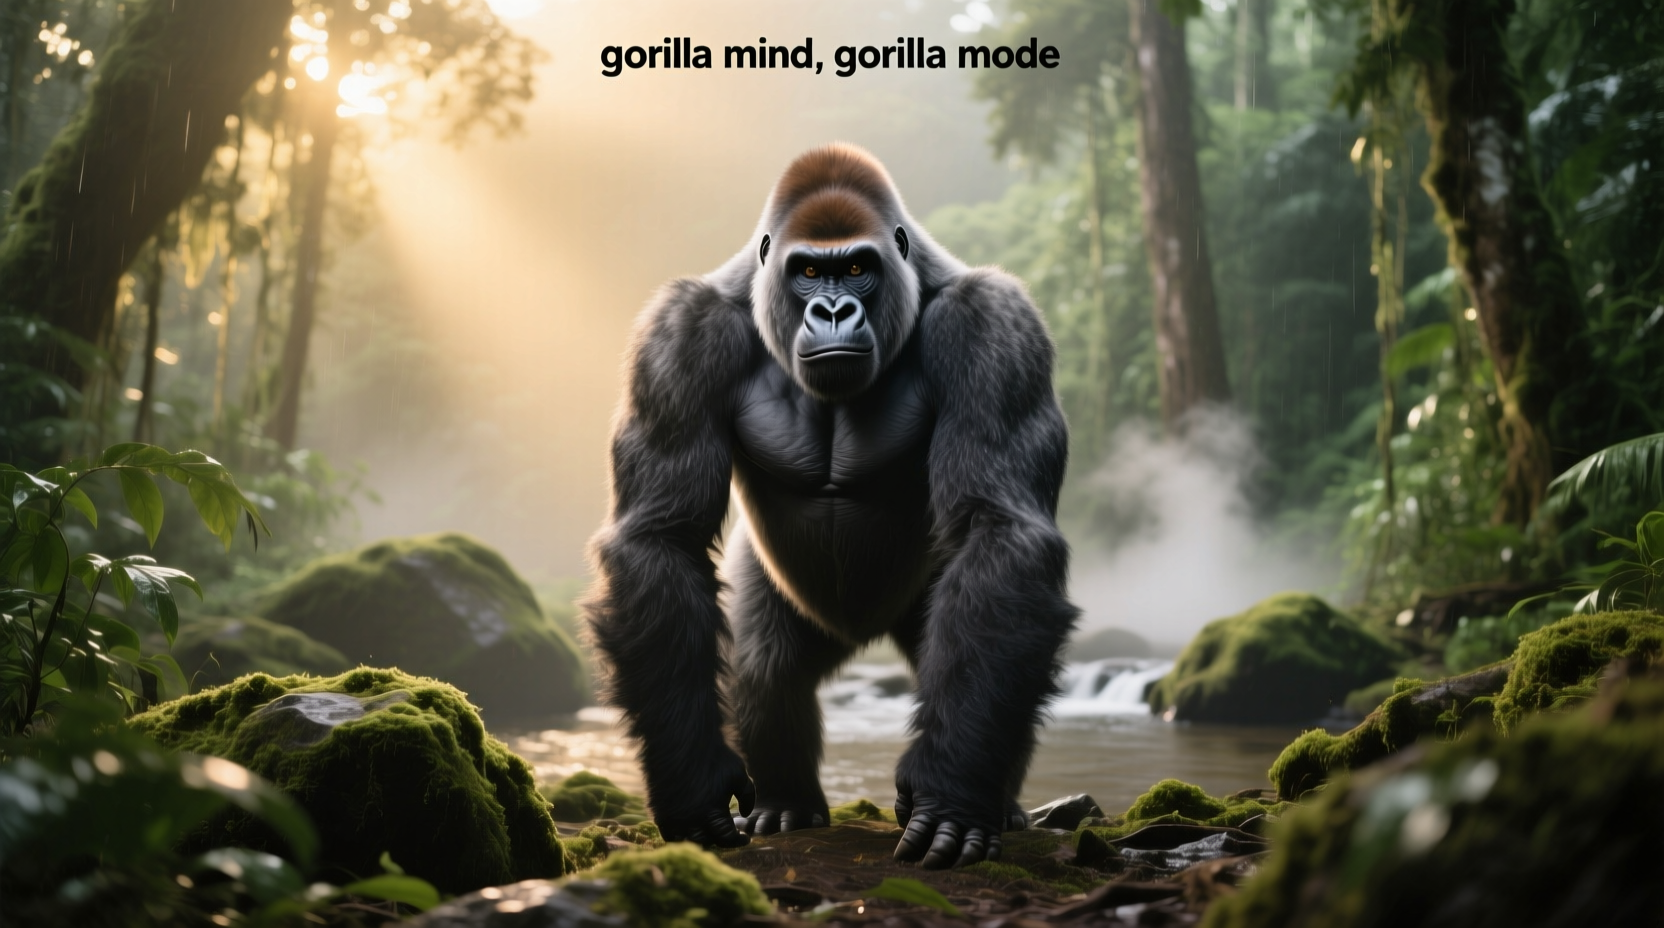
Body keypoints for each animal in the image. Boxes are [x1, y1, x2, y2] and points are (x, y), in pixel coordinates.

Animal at [584, 144, 1077, 869]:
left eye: (857, 269)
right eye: (810, 272)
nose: (836, 312)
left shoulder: (993, 324)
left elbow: (1002, 531)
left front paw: (952, 794)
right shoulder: (679, 334)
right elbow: (660, 537)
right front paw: (693, 782)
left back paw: (1000, 803)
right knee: (765, 665)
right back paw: (785, 801)